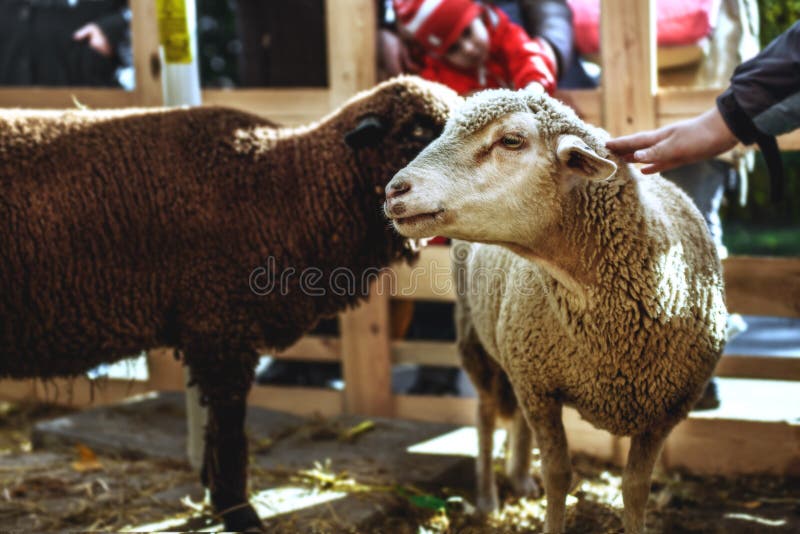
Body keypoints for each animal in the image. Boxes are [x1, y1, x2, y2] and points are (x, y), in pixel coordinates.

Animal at [384, 88, 727, 533]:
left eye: (511, 140)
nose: (394, 190)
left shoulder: (670, 408)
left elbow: (636, 487)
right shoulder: (540, 386)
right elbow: (559, 475)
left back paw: (518, 477)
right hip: (477, 339)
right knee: (486, 415)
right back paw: (489, 498)